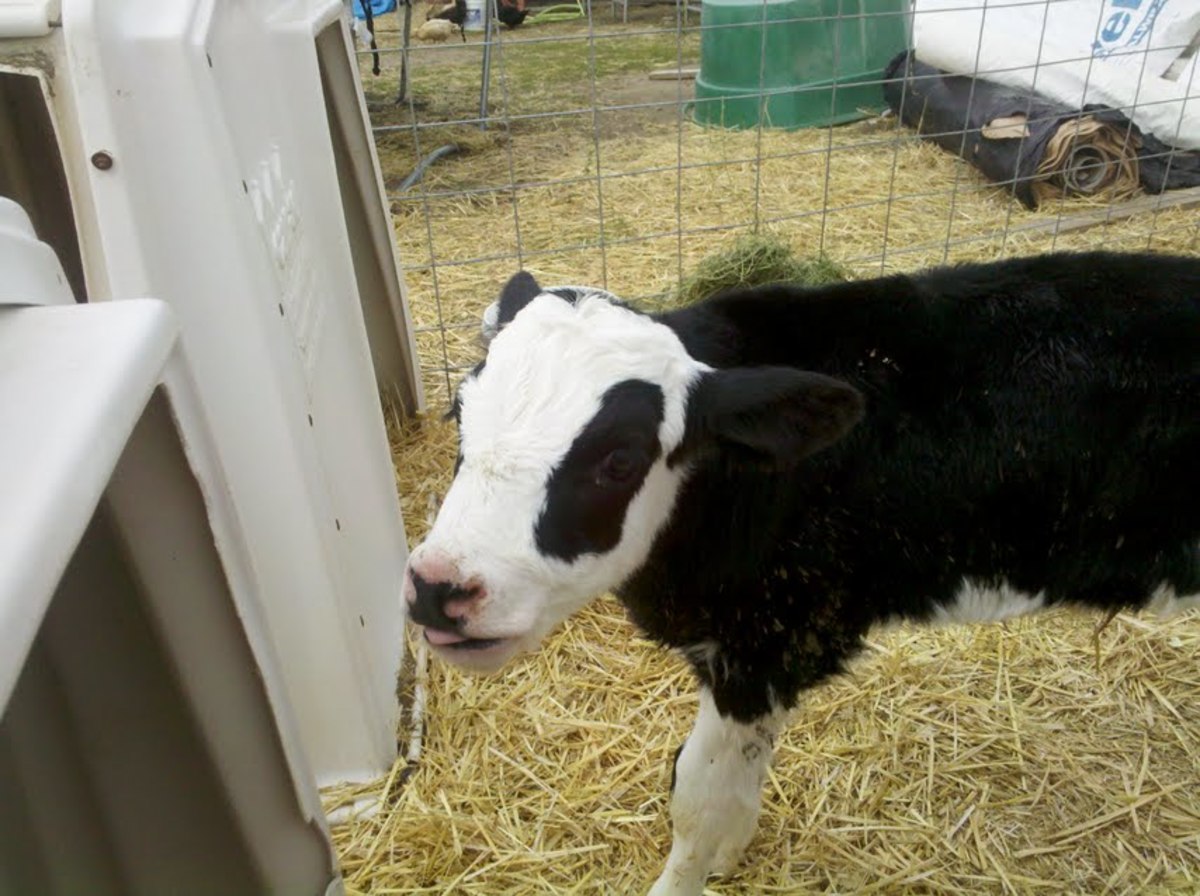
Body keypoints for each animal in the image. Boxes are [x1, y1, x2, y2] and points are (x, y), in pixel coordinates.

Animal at [403, 251, 1200, 895]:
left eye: (619, 461)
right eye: (459, 414)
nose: (440, 587)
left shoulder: (769, 644)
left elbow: (696, 796)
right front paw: (729, 854)